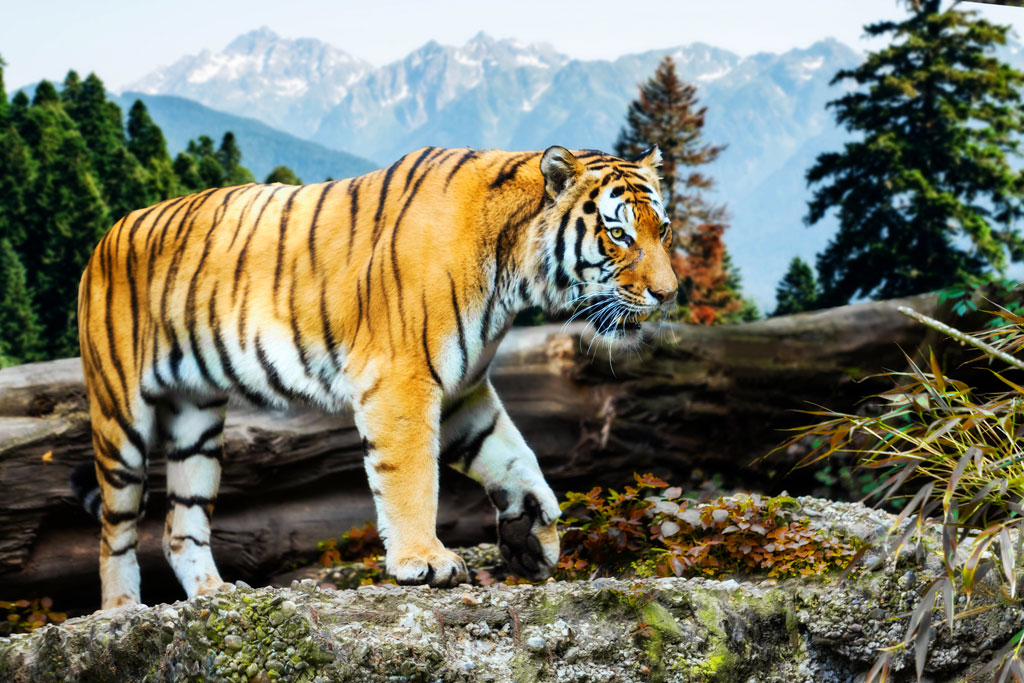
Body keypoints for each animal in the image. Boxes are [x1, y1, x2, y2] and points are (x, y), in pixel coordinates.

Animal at [72, 144, 678, 610]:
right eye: (619, 235)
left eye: (664, 231)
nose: (669, 294)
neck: (513, 273)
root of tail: (106, 233)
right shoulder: (402, 379)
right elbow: (411, 478)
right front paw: (424, 562)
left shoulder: (464, 390)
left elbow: (513, 455)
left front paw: (531, 531)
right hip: (121, 416)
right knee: (115, 529)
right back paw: (121, 610)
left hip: (195, 421)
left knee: (179, 525)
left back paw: (214, 594)